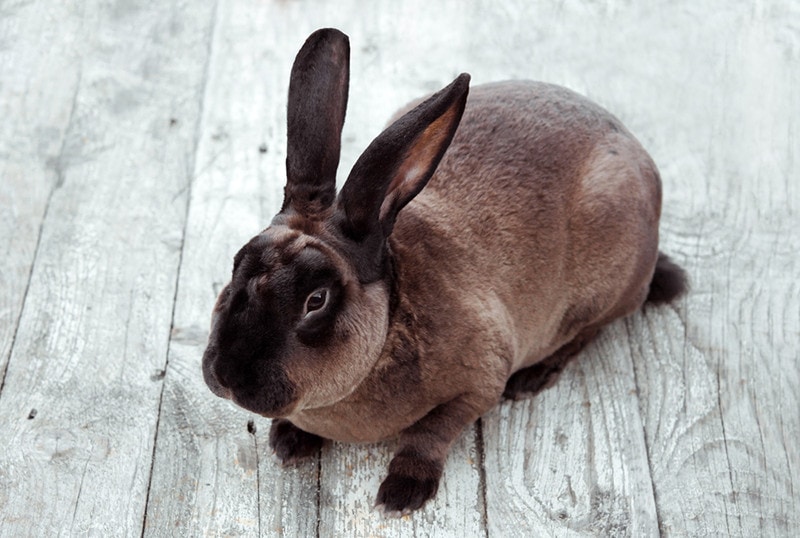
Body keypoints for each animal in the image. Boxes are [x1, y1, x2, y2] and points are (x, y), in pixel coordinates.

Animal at [201, 28, 688, 515]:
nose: (226, 376)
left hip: (606, 283)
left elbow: (429, 433)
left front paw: (402, 492)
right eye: (236, 265)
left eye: (315, 300)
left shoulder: (479, 385)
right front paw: (289, 440)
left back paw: (533, 378)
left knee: (590, 329)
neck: (391, 320)